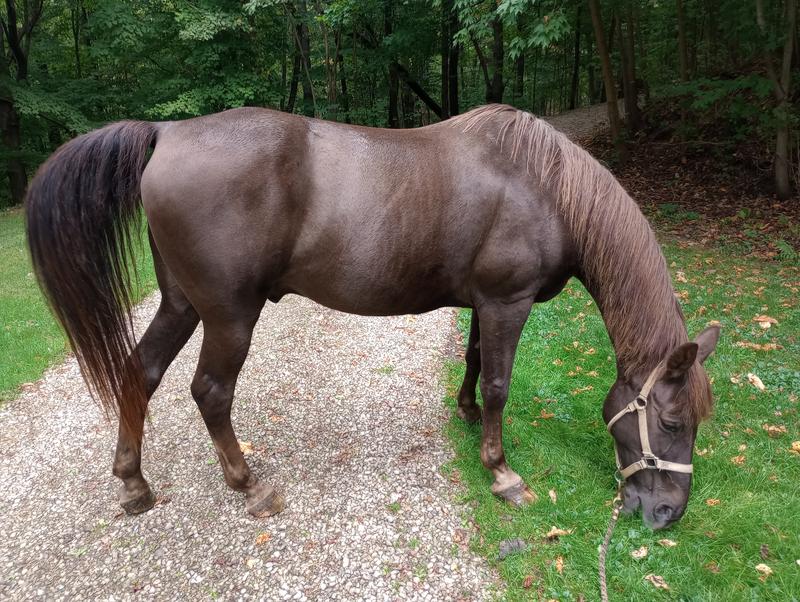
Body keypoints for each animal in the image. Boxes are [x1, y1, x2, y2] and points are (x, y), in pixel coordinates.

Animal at [25, 104, 719, 530]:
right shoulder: (507, 302)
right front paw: (501, 472)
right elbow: (500, 383)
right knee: (210, 392)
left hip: (181, 305)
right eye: (673, 422)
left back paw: (133, 484)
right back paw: (250, 486)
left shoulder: (483, 303)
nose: (668, 514)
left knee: (139, 373)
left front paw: (466, 415)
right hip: (227, 315)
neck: (546, 187)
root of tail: (167, 131)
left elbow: (474, 363)